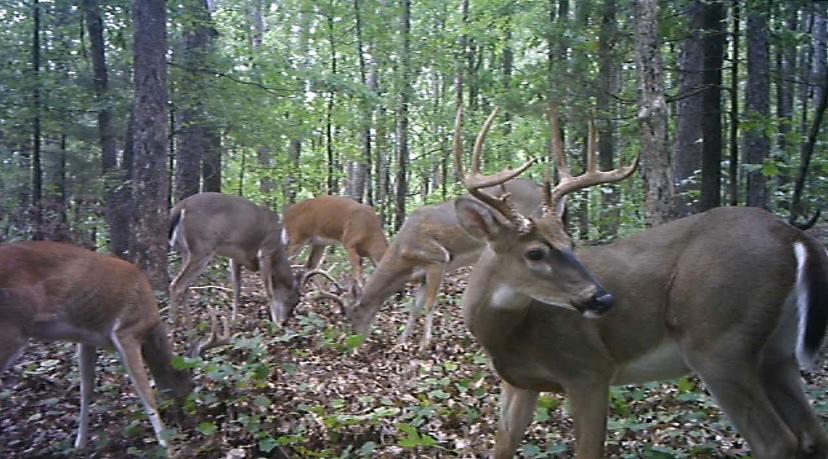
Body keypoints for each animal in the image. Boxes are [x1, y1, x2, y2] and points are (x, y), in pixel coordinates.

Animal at [0, 240, 225, 450]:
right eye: (189, 385)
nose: (189, 421)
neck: (149, 326)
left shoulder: (87, 339)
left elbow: (86, 389)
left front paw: (80, 444)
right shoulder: (127, 331)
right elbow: (146, 395)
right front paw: (167, 446)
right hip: (11, 329)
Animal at [169, 192, 300, 329]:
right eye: (294, 300)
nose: (285, 322)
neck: (278, 254)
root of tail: (180, 207)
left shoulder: (235, 258)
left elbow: (237, 289)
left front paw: (234, 321)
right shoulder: (265, 252)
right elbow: (269, 291)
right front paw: (275, 324)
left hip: (186, 252)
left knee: (185, 287)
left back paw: (189, 327)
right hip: (202, 249)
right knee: (176, 285)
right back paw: (173, 326)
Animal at [340, 112, 543, 350]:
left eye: (353, 313)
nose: (353, 343)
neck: (403, 253)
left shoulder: (437, 259)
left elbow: (429, 304)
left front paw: (424, 344)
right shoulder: (421, 275)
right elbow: (414, 307)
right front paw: (402, 341)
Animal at [454, 103, 828, 459]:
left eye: (570, 243)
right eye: (535, 253)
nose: (602, 298)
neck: (505, 335)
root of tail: (794, 236)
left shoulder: (588, 370)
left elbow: (589, 451)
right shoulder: (519, 382)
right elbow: (503, 447)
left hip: (719, 339)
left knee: (776, 442)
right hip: (776, 351)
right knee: (812, 433)